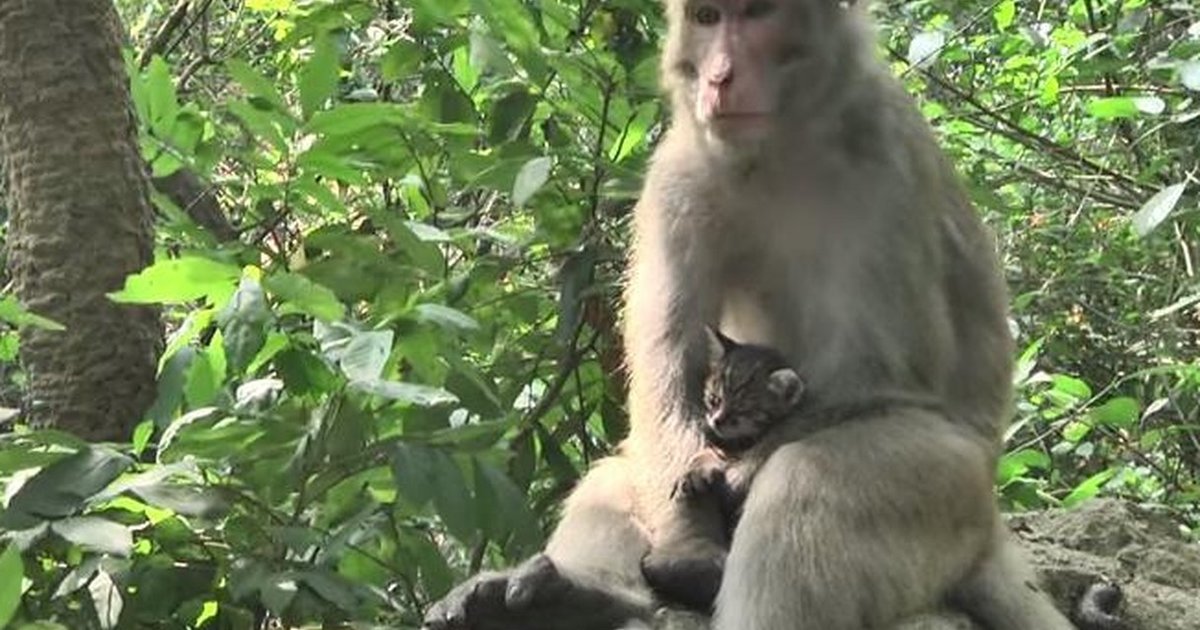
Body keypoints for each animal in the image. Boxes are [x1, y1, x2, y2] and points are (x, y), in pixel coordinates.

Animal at [424, 1, 1081, 629]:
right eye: (707, 18)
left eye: (758, 14)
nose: (719, 76)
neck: (782, 146)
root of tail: (990, 527)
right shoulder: (679, 171)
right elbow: (669, 364)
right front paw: (687, 539)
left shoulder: (885, 159)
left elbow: (886, 373)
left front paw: (734, 477)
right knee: (624, 470)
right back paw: (577, 598)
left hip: (949, 493)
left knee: (809, 483)